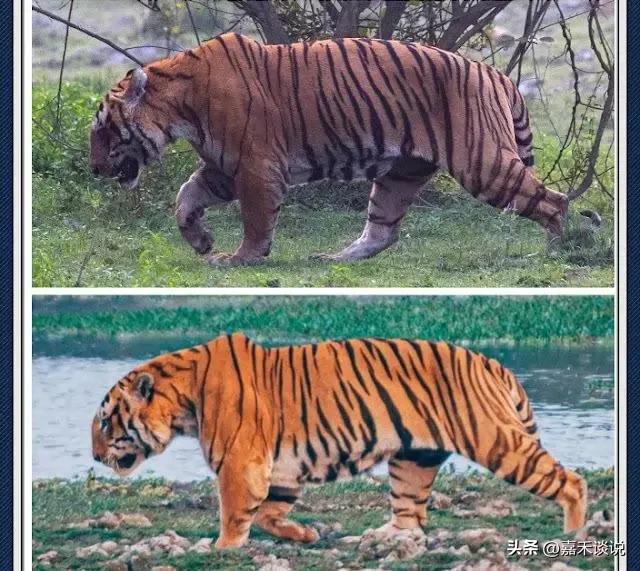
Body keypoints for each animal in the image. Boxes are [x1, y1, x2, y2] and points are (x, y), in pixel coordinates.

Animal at [89, 32, 571, 266]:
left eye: (104, 129)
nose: (93, 169)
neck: (178, 106)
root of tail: (495, 73)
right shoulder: (223, 168)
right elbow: (185, 198)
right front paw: (202, 241)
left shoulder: (255, 165)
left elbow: (255, 219)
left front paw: (241, 258)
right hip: (401, 173)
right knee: (382, 231)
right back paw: (335, 257)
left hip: (483, 163)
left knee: (555, 201)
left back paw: (558, 251)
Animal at [92, 333, 587, 548]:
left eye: (105, 422)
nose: (94, 457)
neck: (184, 401)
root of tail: (492, 363)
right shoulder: (277, 466)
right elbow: (269, 511)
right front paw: (303, 534)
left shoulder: (240, 462)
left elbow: (234, 512)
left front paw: (223, 550)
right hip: (414, 458)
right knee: (410, 514)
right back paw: (380, 537)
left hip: (497, 442)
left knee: (571, 481)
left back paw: (577, 532)